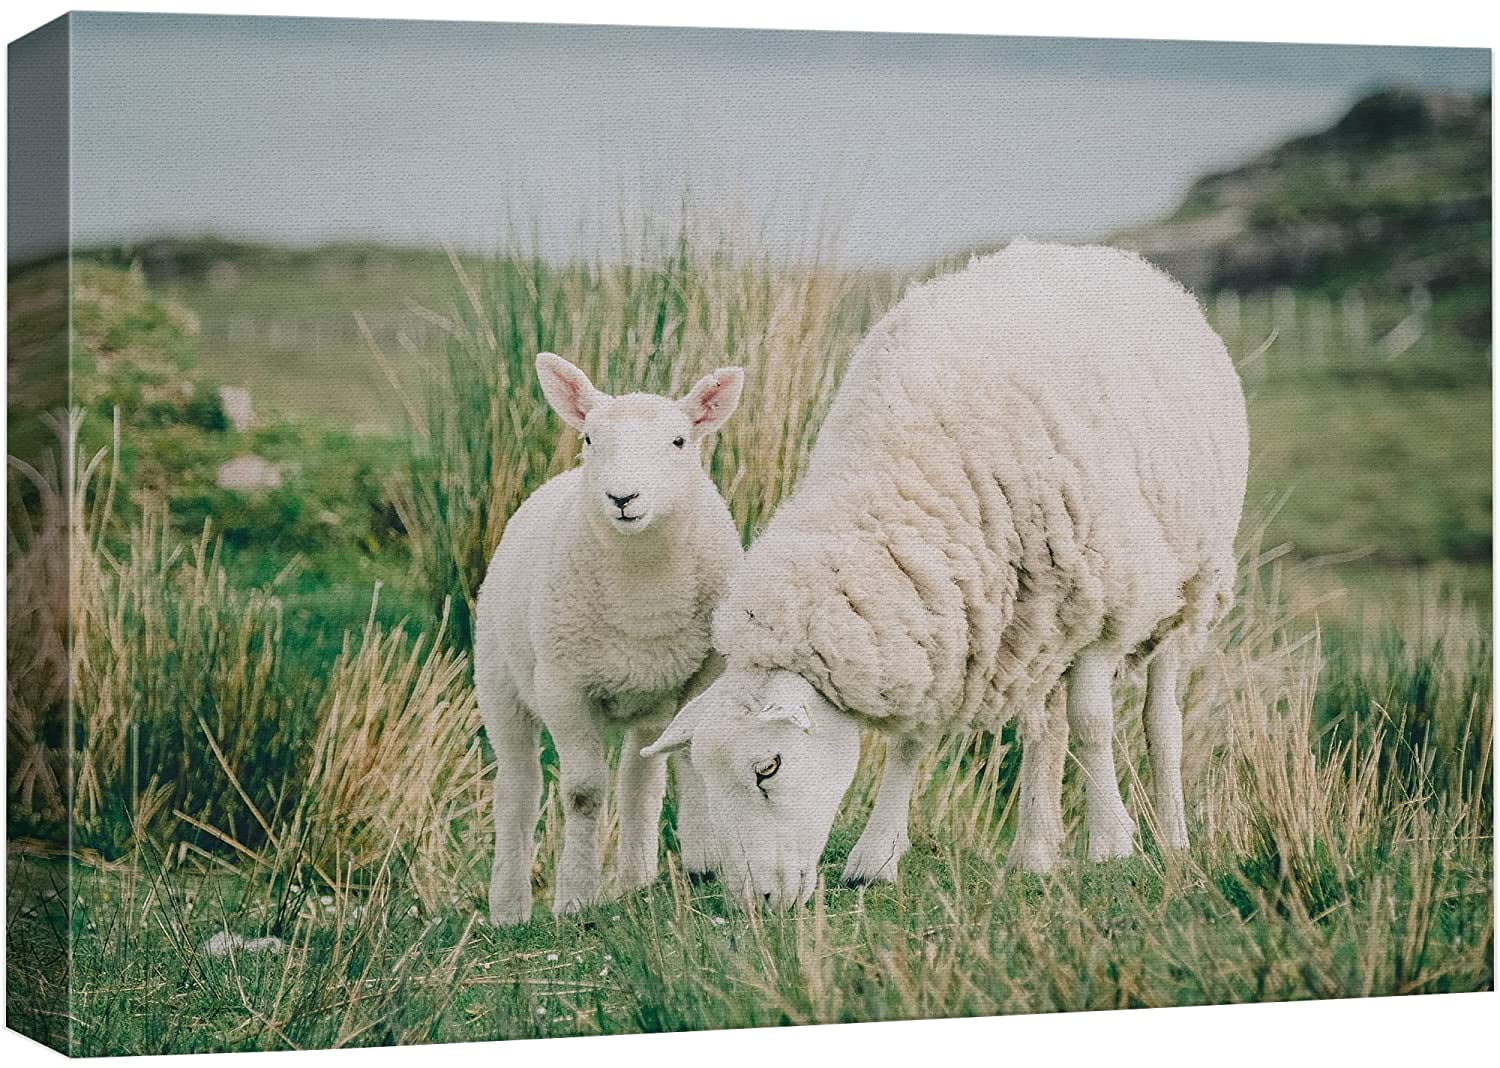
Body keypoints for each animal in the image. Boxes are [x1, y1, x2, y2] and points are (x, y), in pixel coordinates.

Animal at [475, 353, 744, 925]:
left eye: (679, 441)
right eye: (591, 438)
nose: (622, 497)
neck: (643, 589)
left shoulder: (706, 678)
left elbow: (690, 764)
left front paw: (705, 862)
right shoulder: (563, 688)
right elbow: (582, 793)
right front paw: (575, 896)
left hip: (649, 704)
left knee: (640, 783)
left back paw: (635, 880)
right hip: (499, 683)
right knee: (517, 790)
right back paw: (509, 908)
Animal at [643, 240, 1249, 911]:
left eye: (768, 767)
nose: (756, 905)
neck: (905, 477)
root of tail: (1097, 253)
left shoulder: (1107, 598)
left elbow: (1095, 722)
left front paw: (1112, 842)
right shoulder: (948, 611)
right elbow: (914, 742)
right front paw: (875, 858)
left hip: (1189, 585)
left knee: (1159, 719)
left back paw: (1171, 836)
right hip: (1043, 621)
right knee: (1045, 727)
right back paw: (1034, 852)